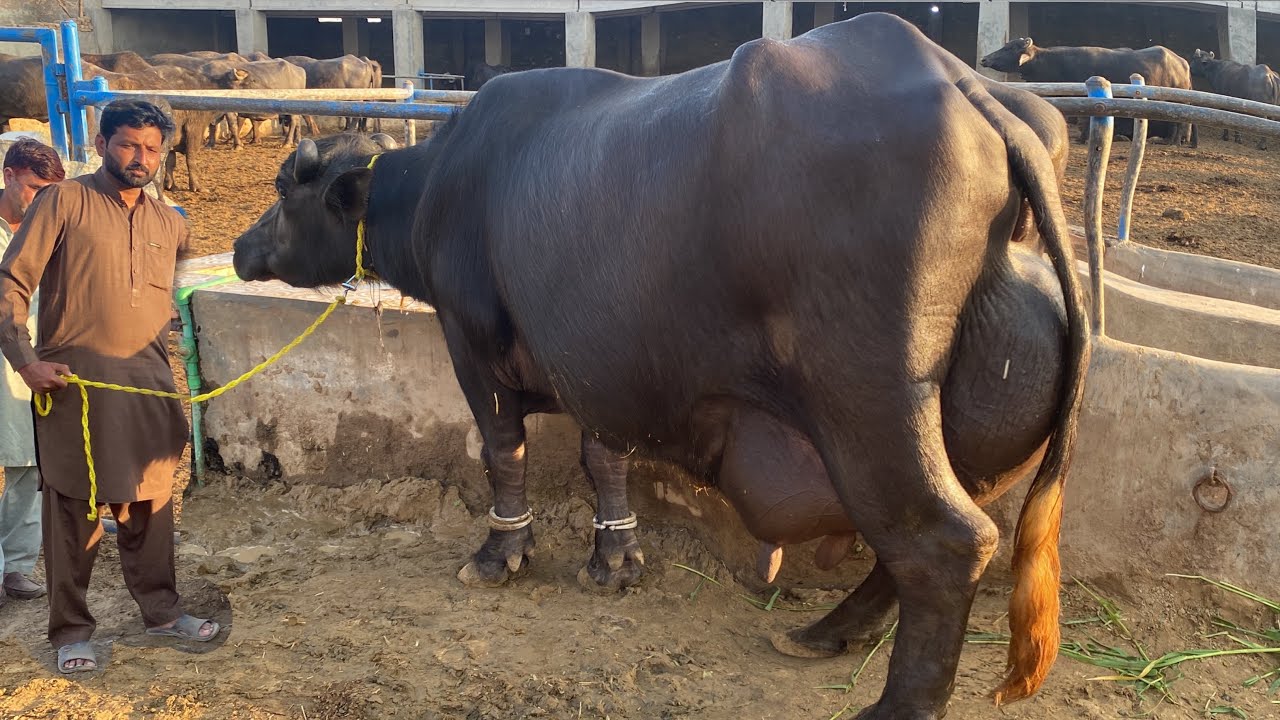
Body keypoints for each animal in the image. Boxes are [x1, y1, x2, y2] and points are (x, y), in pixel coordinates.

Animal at [233, 13, 1089, 719]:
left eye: (284, 189)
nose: (241, 247)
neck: (441, 189)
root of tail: (971, 91)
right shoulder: (602, 364)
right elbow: (602, 457)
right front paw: (615, 560)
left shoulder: (472, 344)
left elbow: (504, 451)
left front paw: (499, 555)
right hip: (978, 431)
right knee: (934, 542)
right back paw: (822, 633)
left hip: (870, 404)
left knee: (945, 543)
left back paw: (888, 702)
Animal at [981, 37, 1196, 146]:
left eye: (1009, 48)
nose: (984, 59)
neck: (1054, 62)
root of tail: (1182, 63)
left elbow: (1085, 120)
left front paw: (1082, 138)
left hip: (1177, 103)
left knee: (1178, 123)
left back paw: (1172, 142)